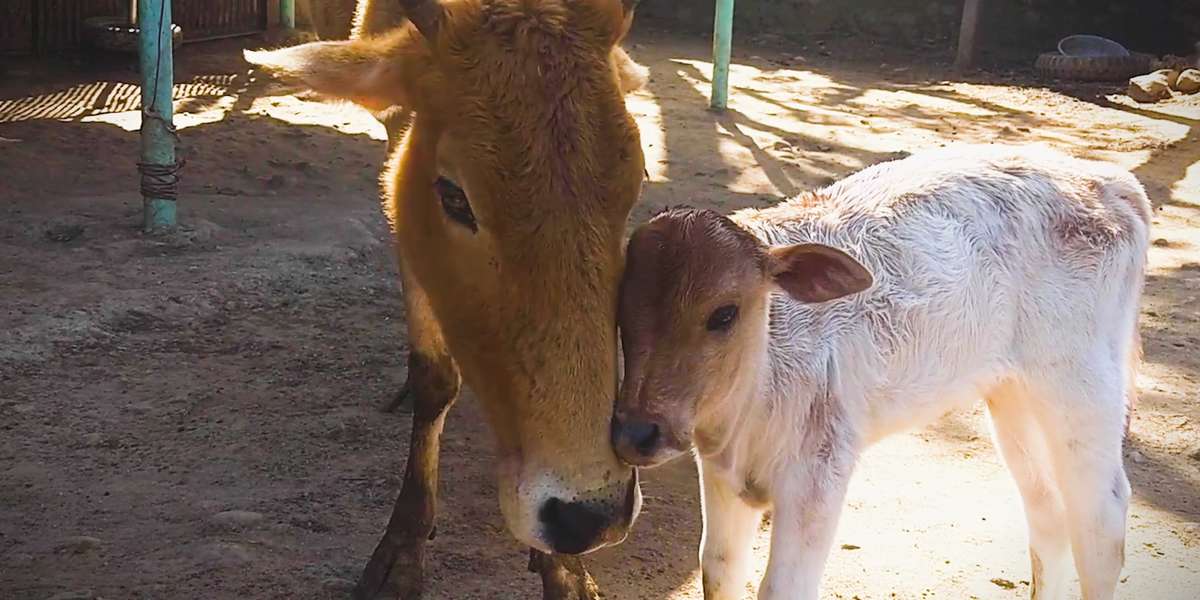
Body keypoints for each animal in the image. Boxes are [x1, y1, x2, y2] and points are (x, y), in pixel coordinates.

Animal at [246, 1, 648, 598]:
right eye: (454, 196)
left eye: (637, 179)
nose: (588, 515)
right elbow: (434, 377)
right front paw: (403, 547)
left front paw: (563, 568)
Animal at [612, 146, 1149, 600]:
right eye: (619, 309)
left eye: (723, 314)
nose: (636, 432)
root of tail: (1111, 181)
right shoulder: (722, 476)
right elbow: (718, 570)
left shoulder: (820, 472)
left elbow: (781, 588)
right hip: (1012, 396)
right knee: (1047, 511)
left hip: (1080, 384)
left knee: (1101, 518)